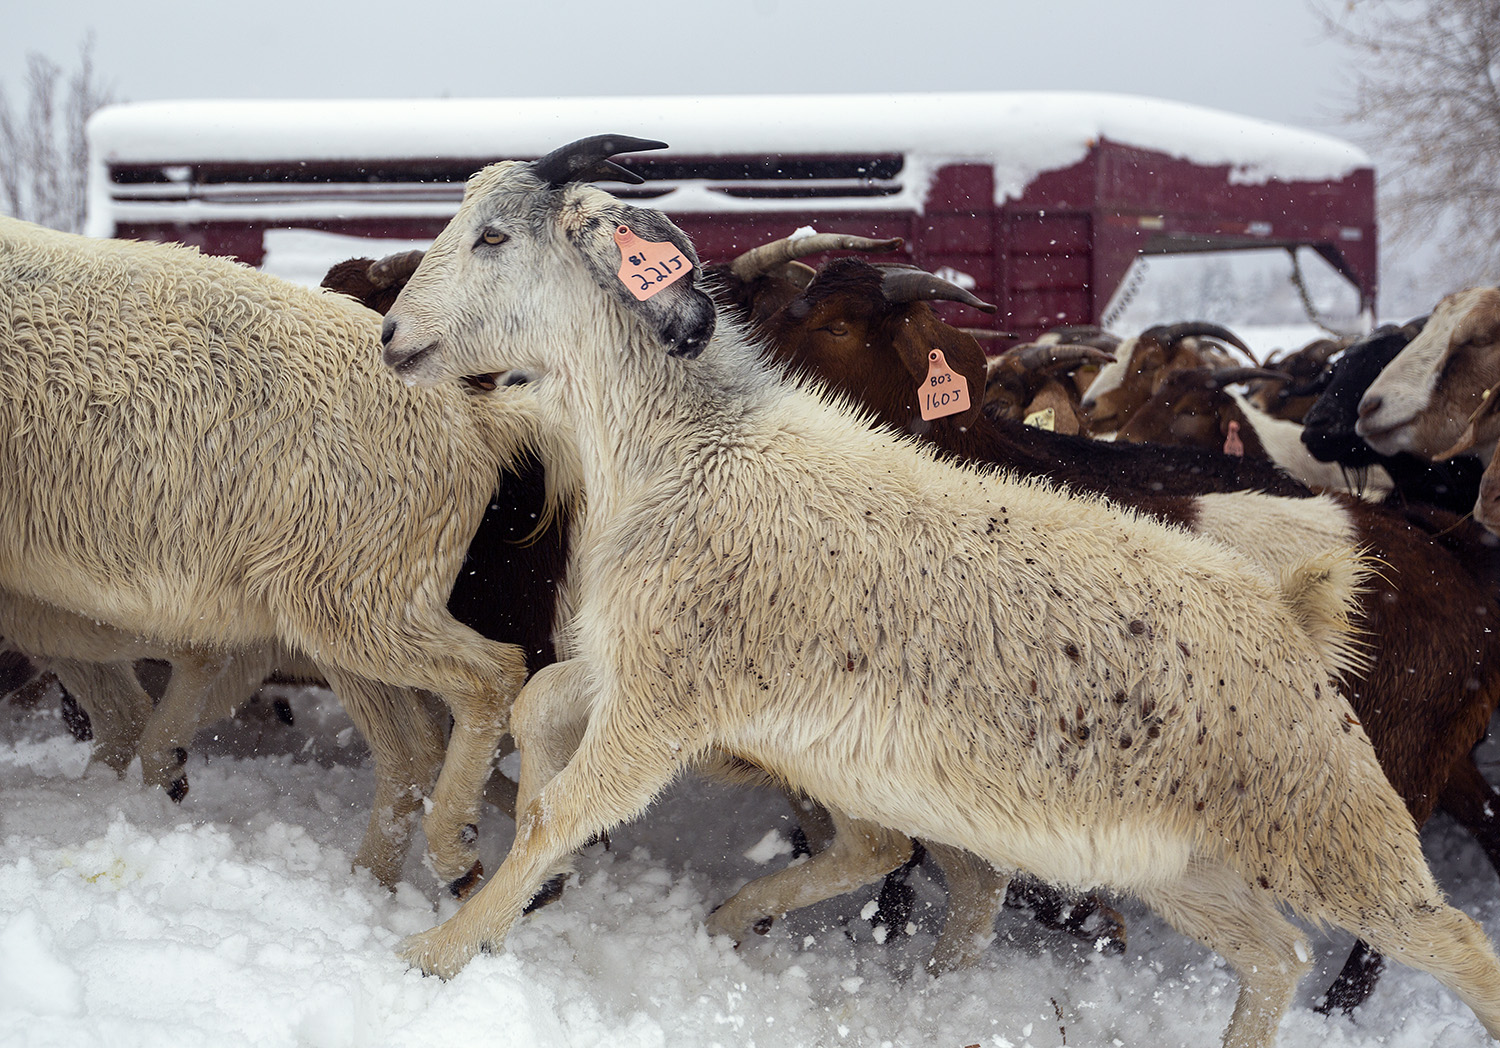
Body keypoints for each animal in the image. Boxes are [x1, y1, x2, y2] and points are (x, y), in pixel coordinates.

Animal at [379, 137, 1500, 1048]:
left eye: (492, 236)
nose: (392, 337)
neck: (693, 448)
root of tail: (1298, 615)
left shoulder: (665, 703)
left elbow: (567, 810)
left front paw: (439, 950)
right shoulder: (647, 676)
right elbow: (535, 709)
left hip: (1336, 828)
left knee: (1453, 944)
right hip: (1183, 864)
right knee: (1276, 953)